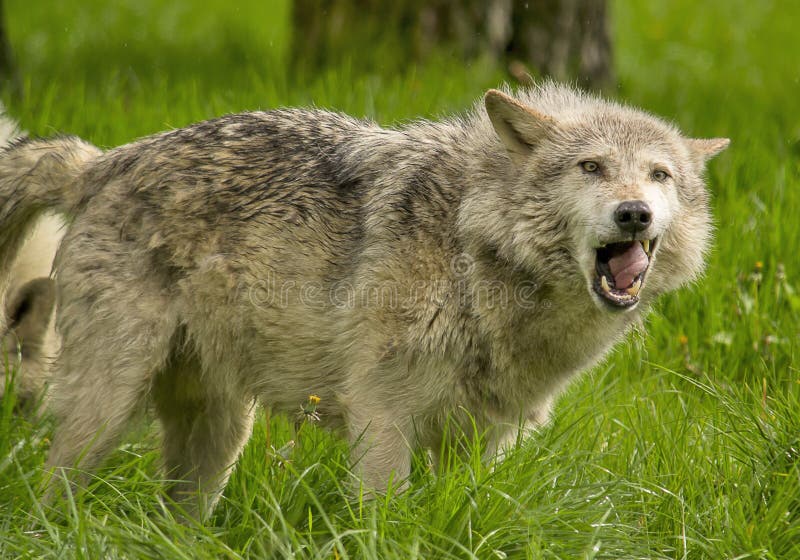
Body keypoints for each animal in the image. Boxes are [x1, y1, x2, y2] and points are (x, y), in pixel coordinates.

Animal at [0, 83, 728, 519]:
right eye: (591, 168)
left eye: (660, 175)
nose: (634, 213)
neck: (474, 249)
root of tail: (100, 163)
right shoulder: (381, 414)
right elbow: (385, 514)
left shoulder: (483, 441)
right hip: (107, 409)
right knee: (52, 492)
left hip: (220, 434)